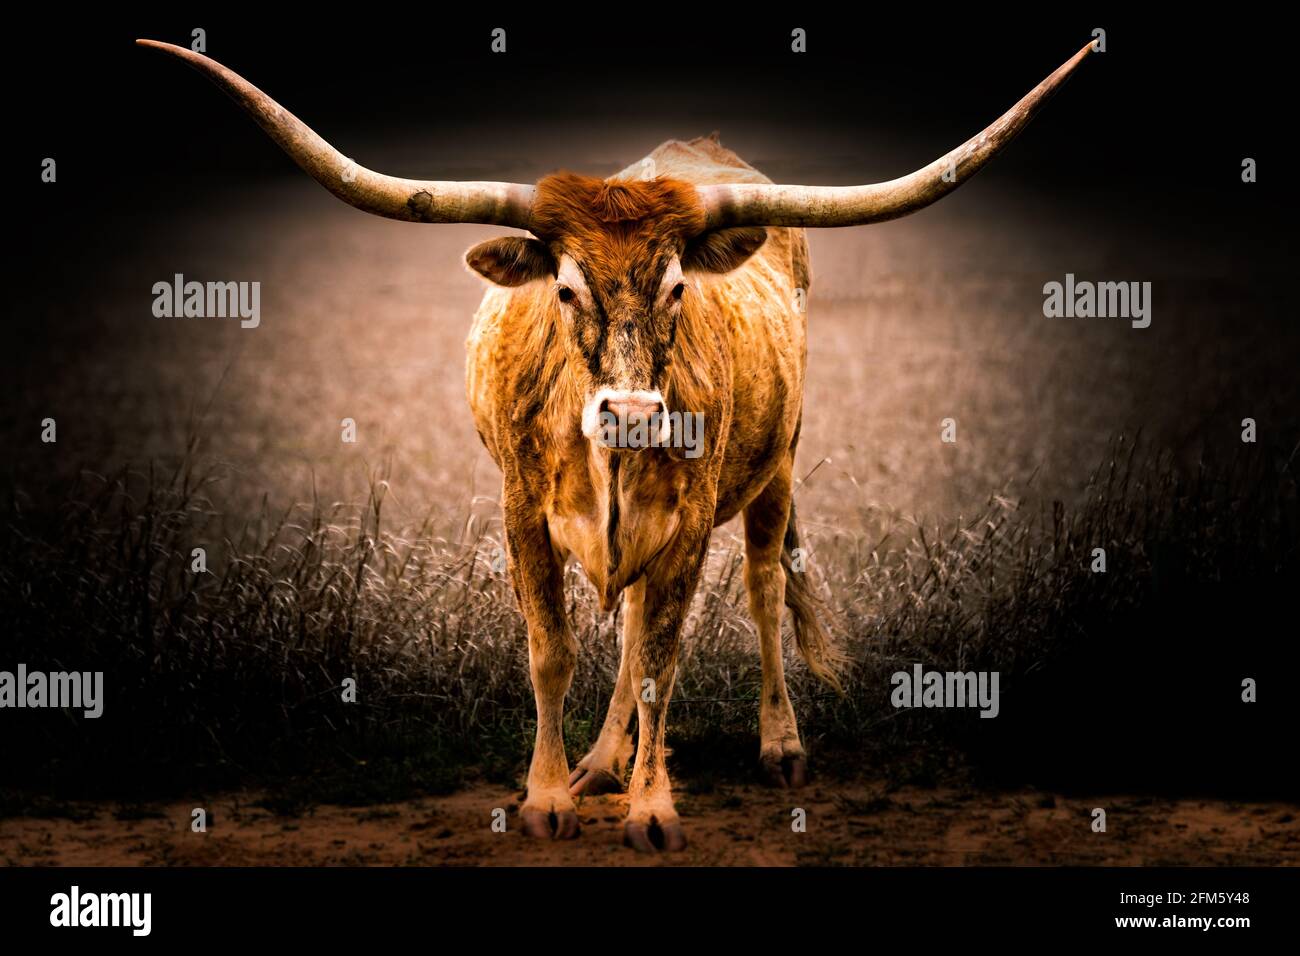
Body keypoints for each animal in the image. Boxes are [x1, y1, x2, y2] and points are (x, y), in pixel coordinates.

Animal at [140, 38, 1093, 852]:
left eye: (675, 287)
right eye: (564, 288)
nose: (631, 414)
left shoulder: (693, 519)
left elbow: (664, 662)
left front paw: (654, 808)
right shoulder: (521, 515)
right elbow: (555, 652)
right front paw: (549, 797)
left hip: (777, 469)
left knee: (759, 590)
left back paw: (776, 744)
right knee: (633, 622)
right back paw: (601, 765)